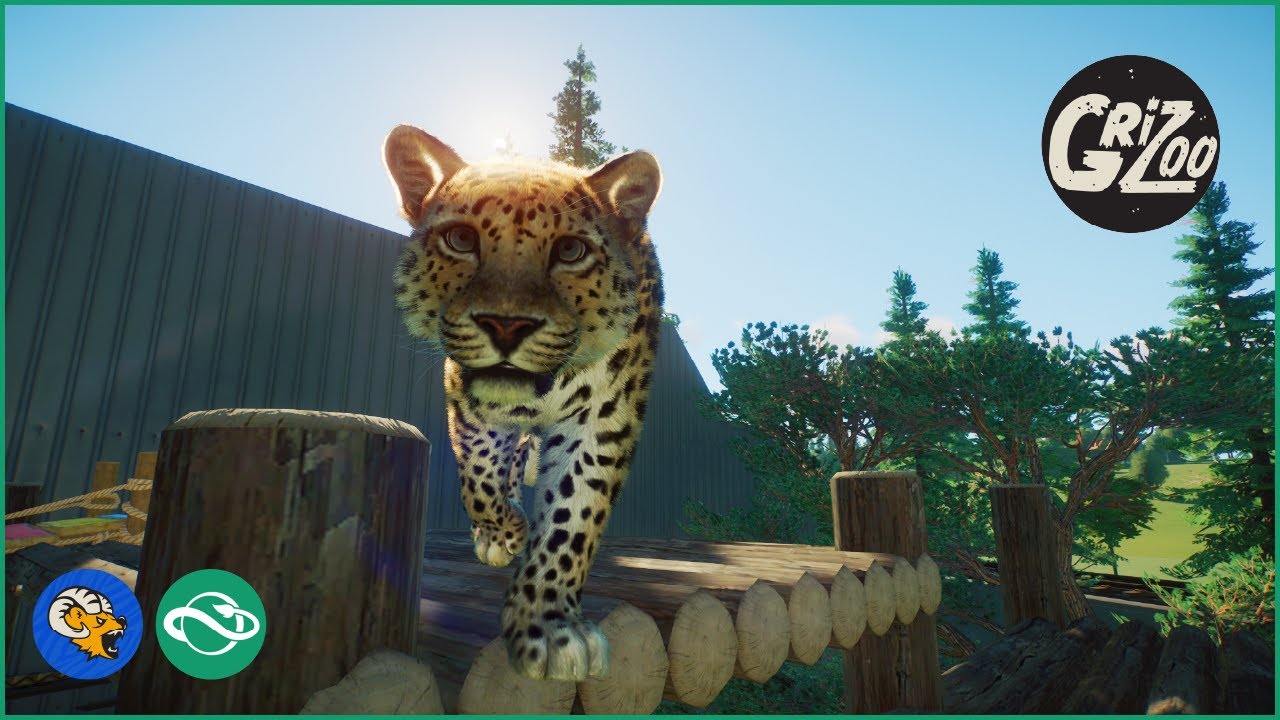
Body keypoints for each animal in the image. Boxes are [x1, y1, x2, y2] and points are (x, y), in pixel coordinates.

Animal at [383, 125, 663, 682]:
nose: (506, 325)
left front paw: (549, 627)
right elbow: (480, 473)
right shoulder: (464, 392)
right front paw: (503, 530)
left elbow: (573, 515)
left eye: (571, 250)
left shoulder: (604, 419)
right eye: (461, 240)